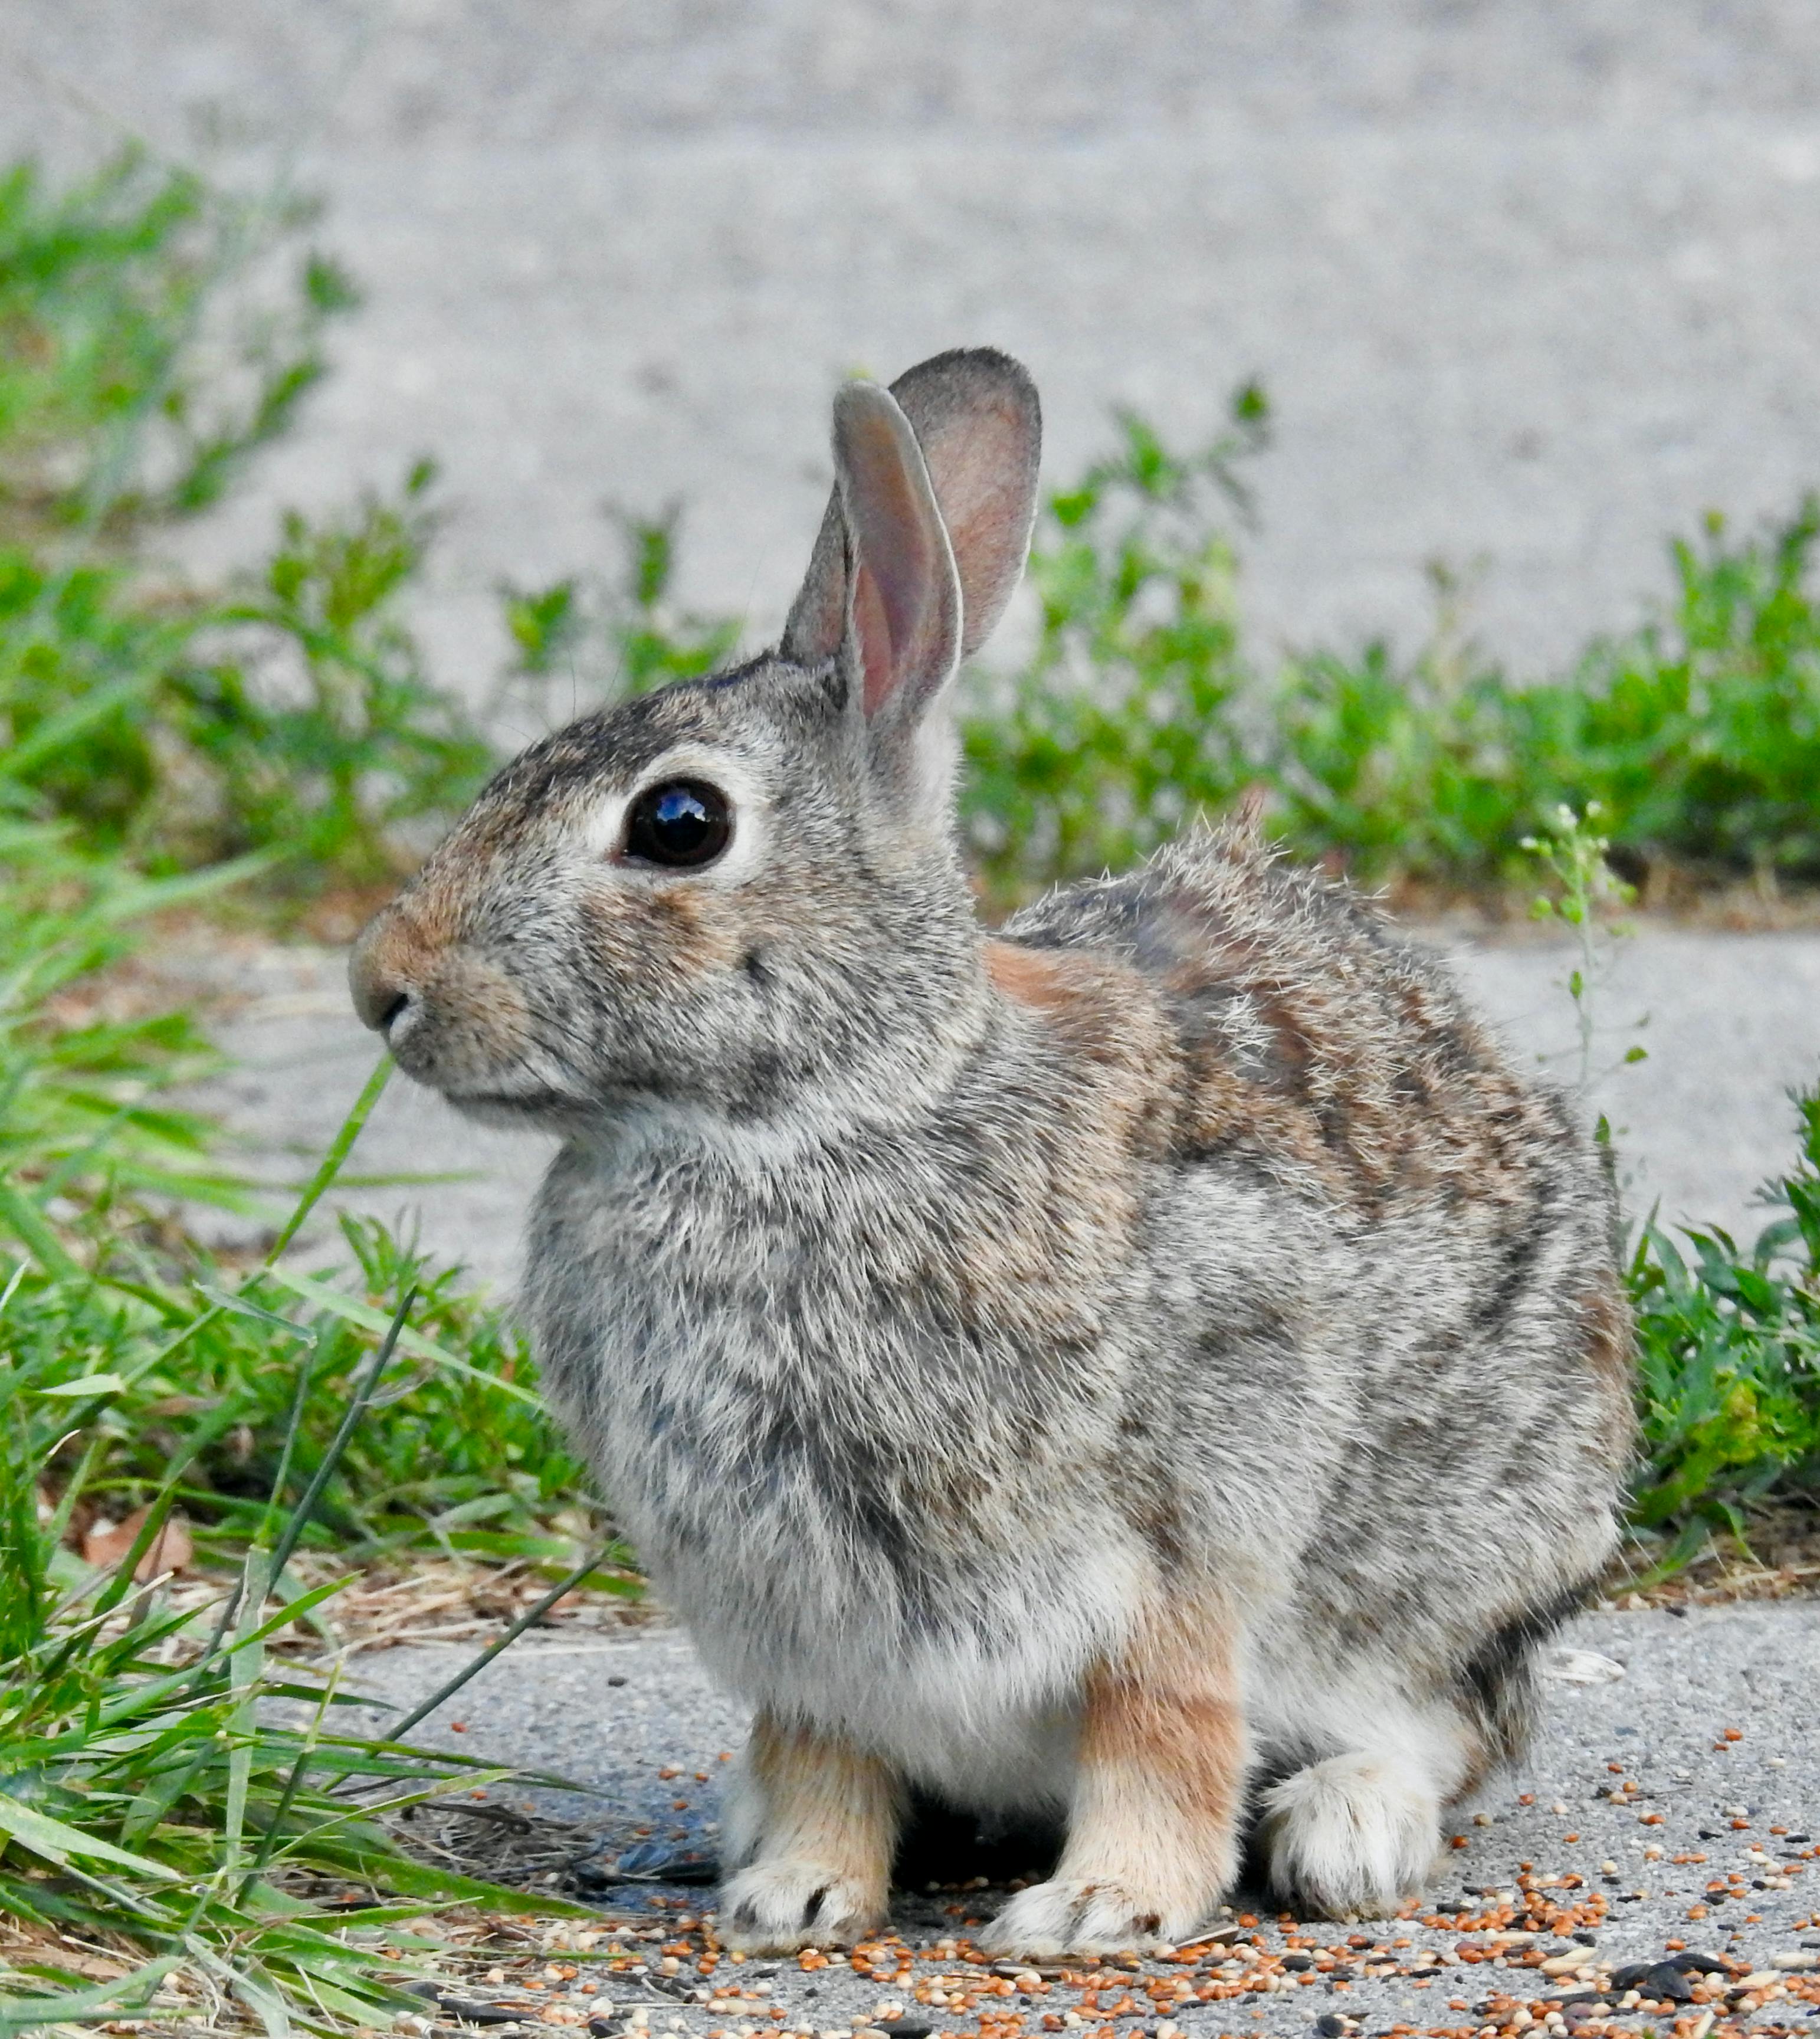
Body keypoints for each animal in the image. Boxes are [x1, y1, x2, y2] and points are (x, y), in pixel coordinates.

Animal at [349, 347, 1635, 1956]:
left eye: (678, 822)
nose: (381, 985)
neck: (834, 1112)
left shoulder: (1187, 1524)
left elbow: (1164, 1718)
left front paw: (1103, 1905)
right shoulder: (799, 1615)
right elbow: (819, 1745)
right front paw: (795, 1891)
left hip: (1465, 1566)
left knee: (1444, 1728)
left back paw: (1343, 1830)